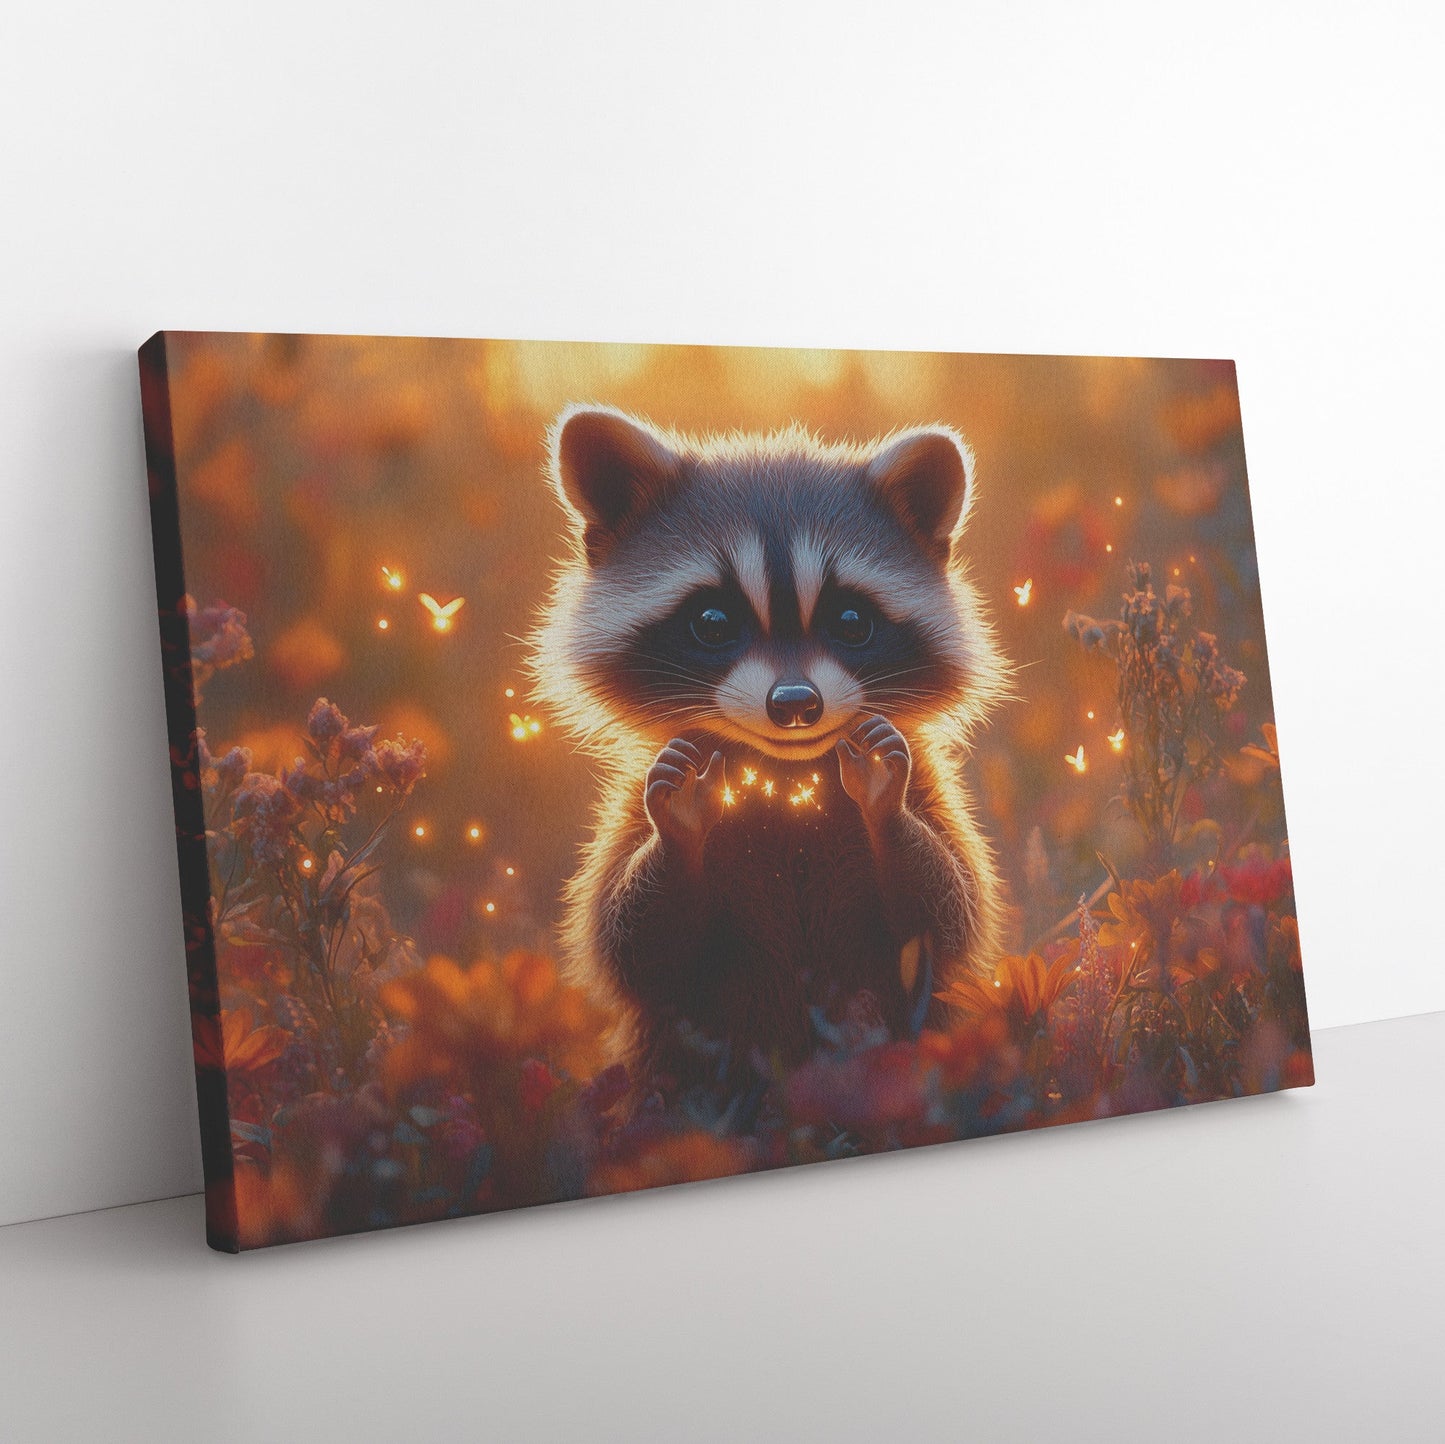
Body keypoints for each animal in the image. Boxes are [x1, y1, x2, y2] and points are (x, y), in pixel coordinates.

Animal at [529, 405, 1007, 1098]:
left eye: (851, 621)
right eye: (713, 622)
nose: (796, 703)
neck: (787, 775)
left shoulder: (931, 788)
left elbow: (949, 913)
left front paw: (885, 805)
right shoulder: (634, 802)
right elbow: (631, 945)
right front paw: (678, 826)